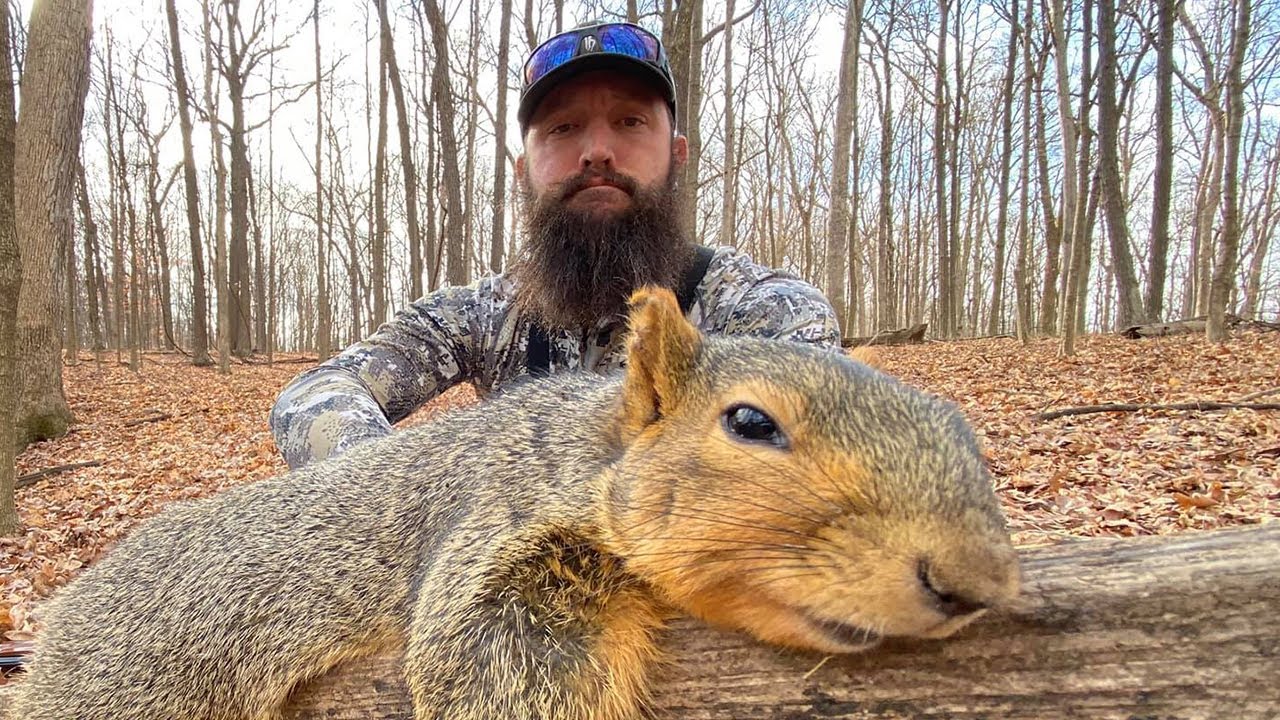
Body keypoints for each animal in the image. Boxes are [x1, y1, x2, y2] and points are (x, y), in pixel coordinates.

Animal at [7, 287, 1020, 720]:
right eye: (749, 422)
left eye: (966, 432)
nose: (977, 580)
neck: (593, 452)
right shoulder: (495, 535)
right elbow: (492, 668)